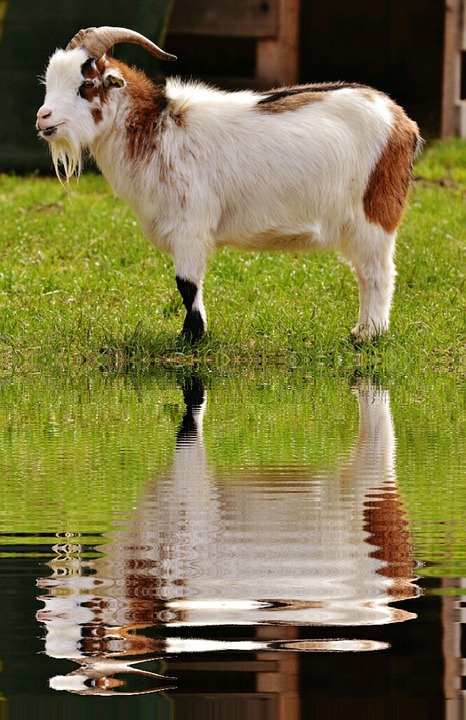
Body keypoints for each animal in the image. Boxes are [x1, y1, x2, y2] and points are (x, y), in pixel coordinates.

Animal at [37, 26, 422, 342]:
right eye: (50, 84)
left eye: (85, 85)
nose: (43, 118)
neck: (160, 127)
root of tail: (402, 121)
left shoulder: (190, 226)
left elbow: (187, 285)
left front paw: (191, 338)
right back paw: (361, 329)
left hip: (375, 213)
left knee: (378, 273)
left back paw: (369, 335)